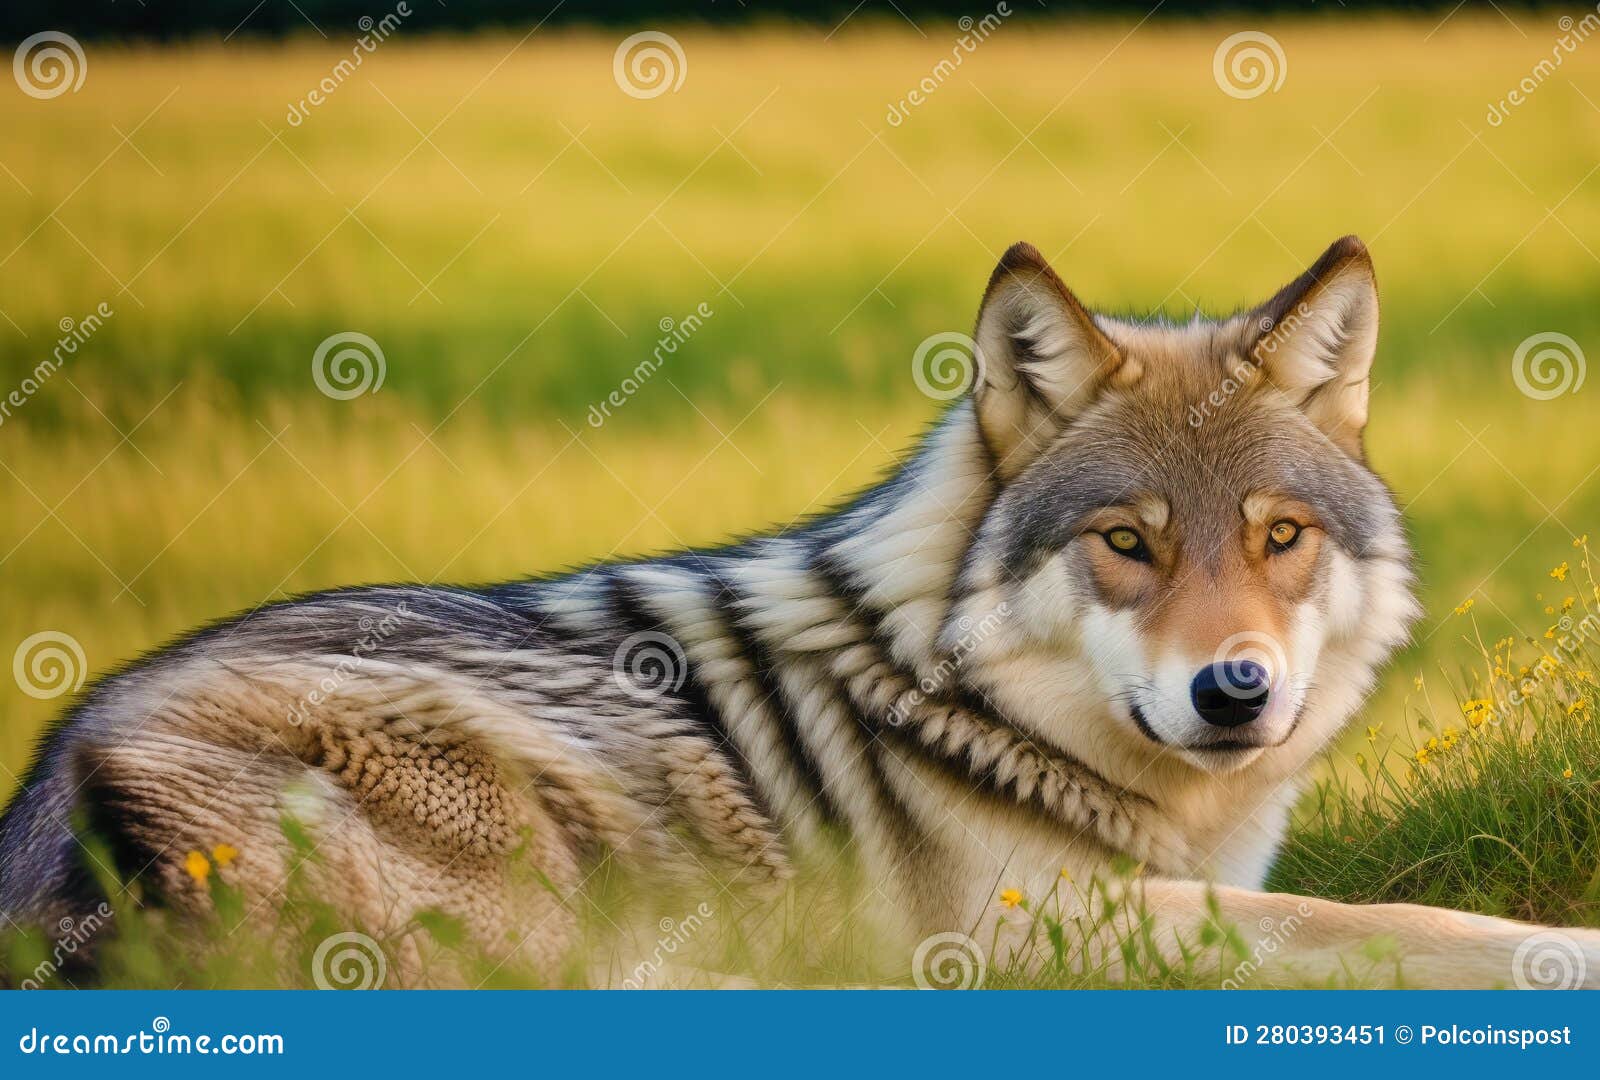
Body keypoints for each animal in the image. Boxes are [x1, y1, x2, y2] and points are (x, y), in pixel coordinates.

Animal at [2, 236, 1596, 987]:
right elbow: (1383, 917)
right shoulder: (1032, 920)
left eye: (1277, 538)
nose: (1236, 691)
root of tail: (56, 795)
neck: (959, 692)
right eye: (1127, 544)